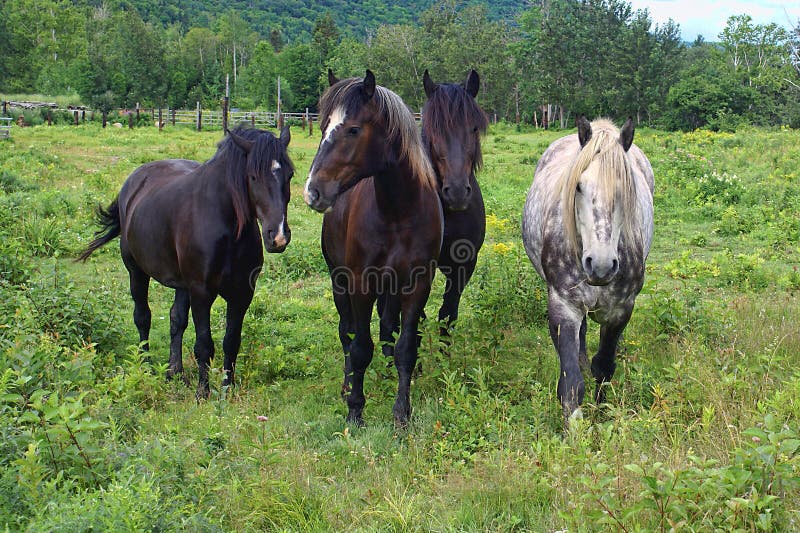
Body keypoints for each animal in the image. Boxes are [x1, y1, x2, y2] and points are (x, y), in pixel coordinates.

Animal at [78, 125, 294, 398]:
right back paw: (146, 368)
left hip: (182, 284)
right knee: (142, 317)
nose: (278, 236)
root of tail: (134, 180)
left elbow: (231, 342)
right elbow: (204, 344)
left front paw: (227, 390)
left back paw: (175, 372)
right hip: (136, 271)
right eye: (253, 177)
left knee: (176, 320)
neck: (226, 226)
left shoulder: (242, 293)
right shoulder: (201, 291)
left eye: (289, 174)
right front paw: (203, 393)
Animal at [303, 70, 443, 426]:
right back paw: (346, 384)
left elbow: (405, 347)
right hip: (339, 283)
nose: (313, 191)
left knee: (387, 331)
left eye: (353, 129)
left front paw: (402, 412)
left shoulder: (416, 285)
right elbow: (360, 347)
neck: (397, 213)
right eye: (322, 127)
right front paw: (355, 409)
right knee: (347, 334)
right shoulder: (360, 284)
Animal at [521, 117, 654, 426]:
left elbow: (604, 366)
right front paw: (575, 431)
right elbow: (571, 382)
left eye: (626, 188)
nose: (601, 265)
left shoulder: (621, 310)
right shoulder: (564, 306)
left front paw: (601, 412)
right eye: (579, 186)